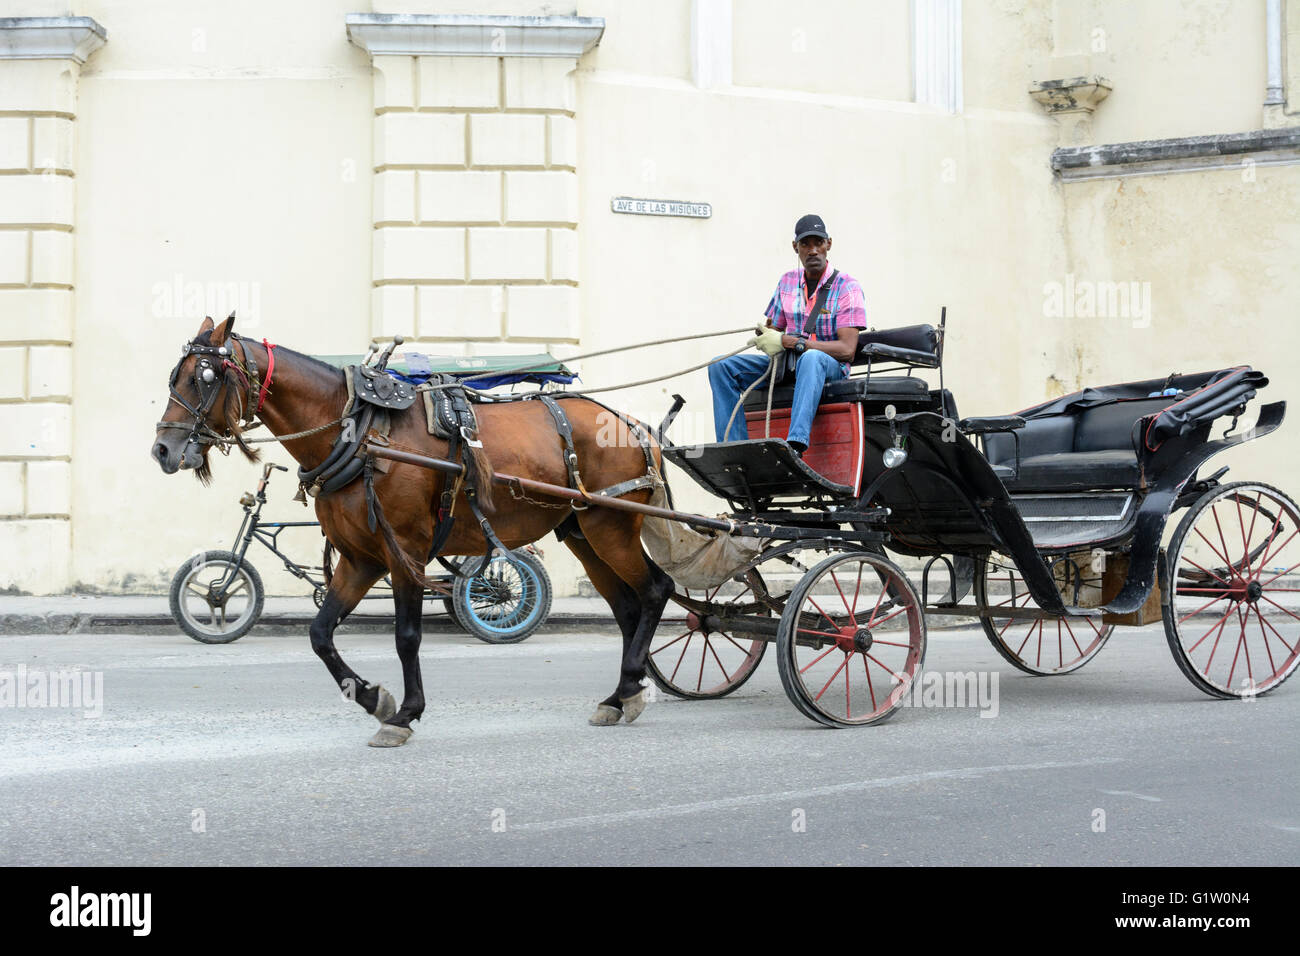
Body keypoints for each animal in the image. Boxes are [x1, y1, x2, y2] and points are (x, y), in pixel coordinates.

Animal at [152, 315, 675, 747]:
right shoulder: (360, 558)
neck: (361, 433)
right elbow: (320, 633)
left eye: (204, 377)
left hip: (610, 526)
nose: (162, 450)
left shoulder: (405, 549)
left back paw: (631, 681)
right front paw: (372, 698)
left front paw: (404, 714)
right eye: (176, 375)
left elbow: (406, 636)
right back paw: (621, 695)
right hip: (584, 532)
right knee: (628, 607)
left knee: (655, 590)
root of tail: (635, 424)